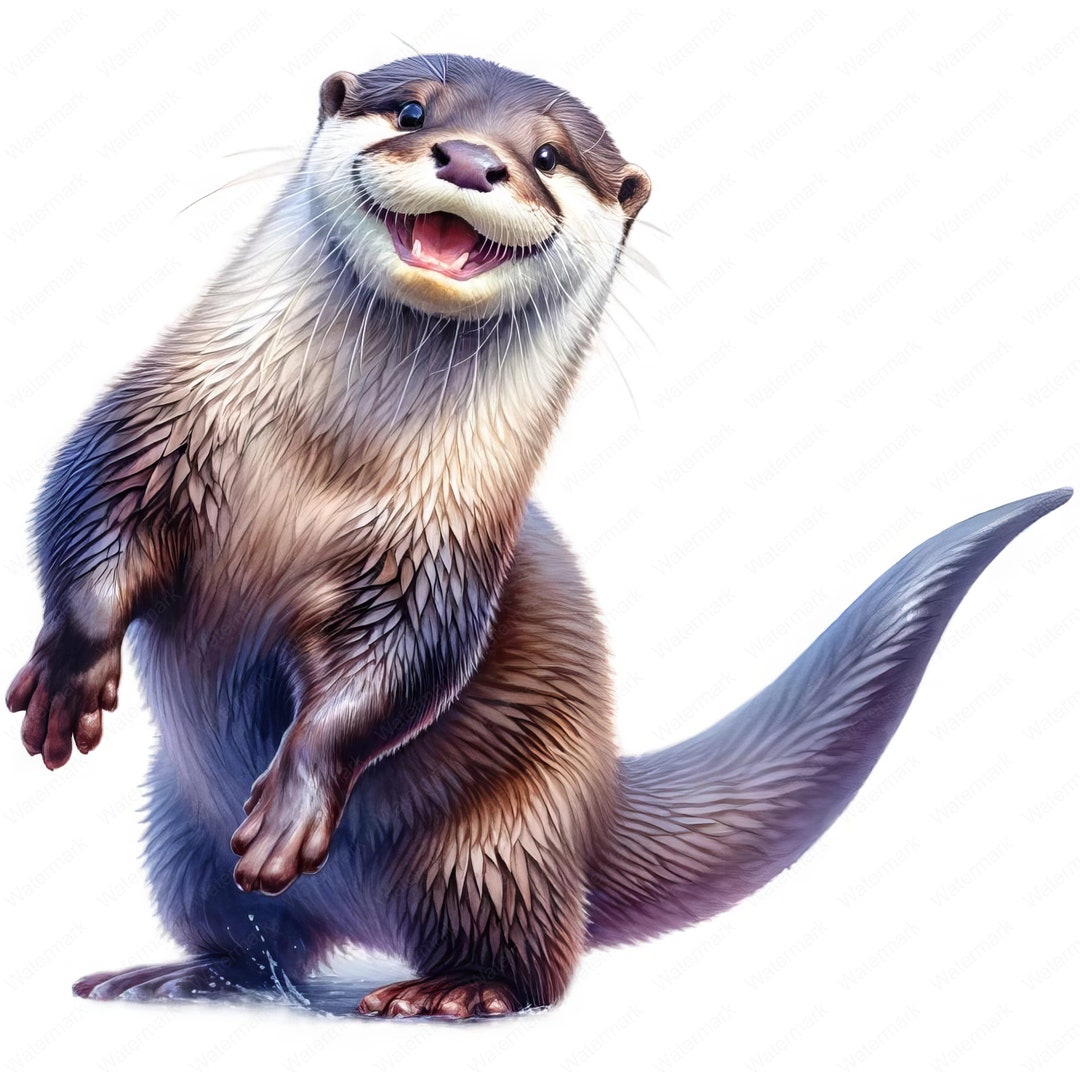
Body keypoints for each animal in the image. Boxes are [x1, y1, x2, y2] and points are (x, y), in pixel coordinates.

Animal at [7, 53, 1069, 1018]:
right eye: (412, 108)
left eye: (549, 156)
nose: (474, 159)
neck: (319, 465)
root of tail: (598, 804)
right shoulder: (150, 430)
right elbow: (83, 523)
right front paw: (68, 673)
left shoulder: (441, 553)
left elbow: (397, 672)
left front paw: (293, 803)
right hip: (177, 837)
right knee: (253, 941)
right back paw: (179, 975)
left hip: (495, 846)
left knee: (536, 959)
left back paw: (450, 990)